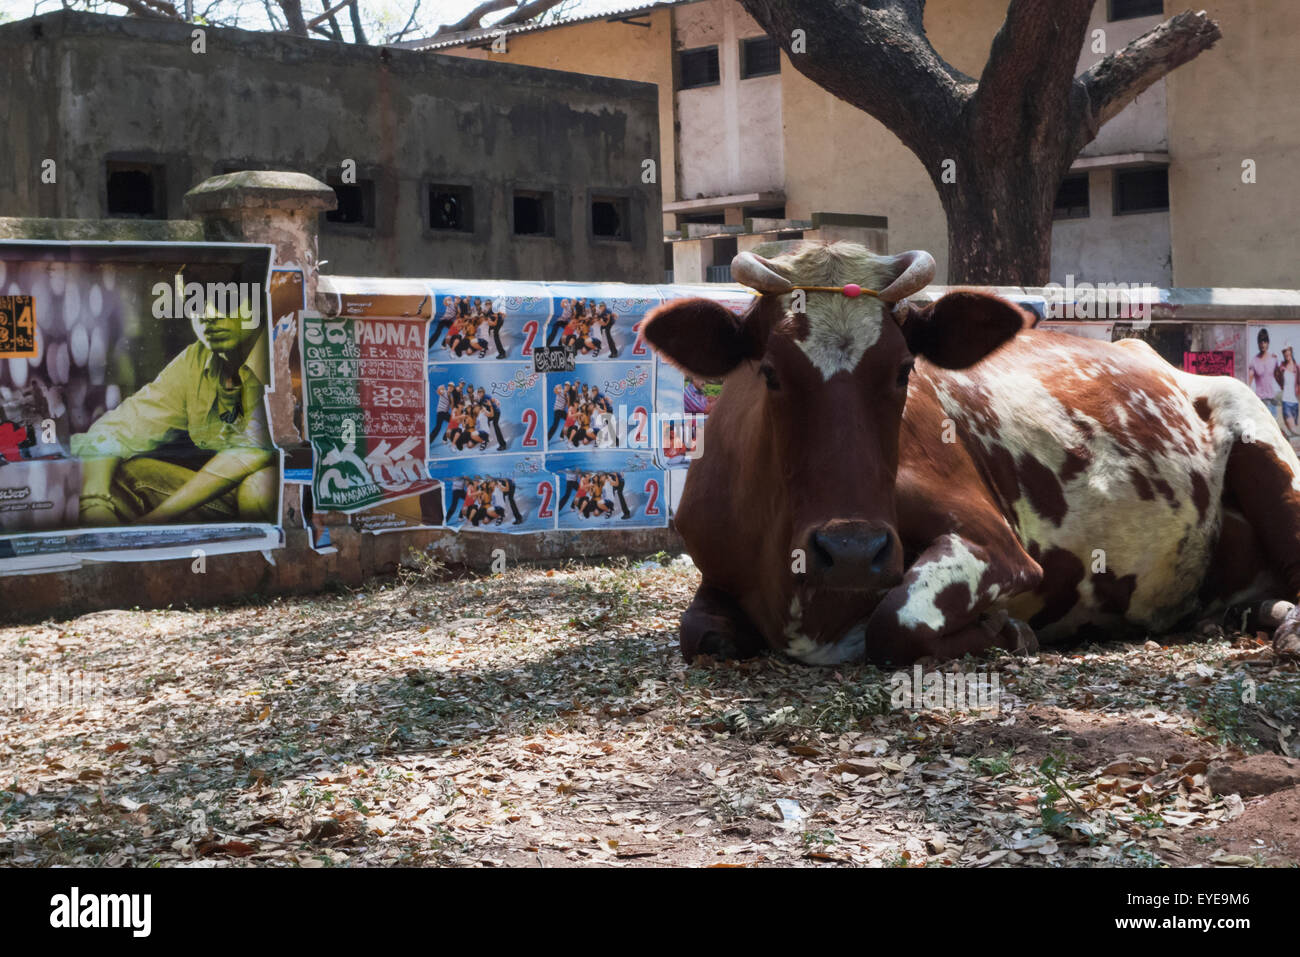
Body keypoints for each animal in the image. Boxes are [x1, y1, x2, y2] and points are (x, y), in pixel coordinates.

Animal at [642, 241, 1300, 665]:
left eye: (904, 369)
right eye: (771, 372)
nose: (852, 552)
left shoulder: (997, 545)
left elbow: (895, 622)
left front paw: (1008, 632)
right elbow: (699, 633)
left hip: (1261, 442)